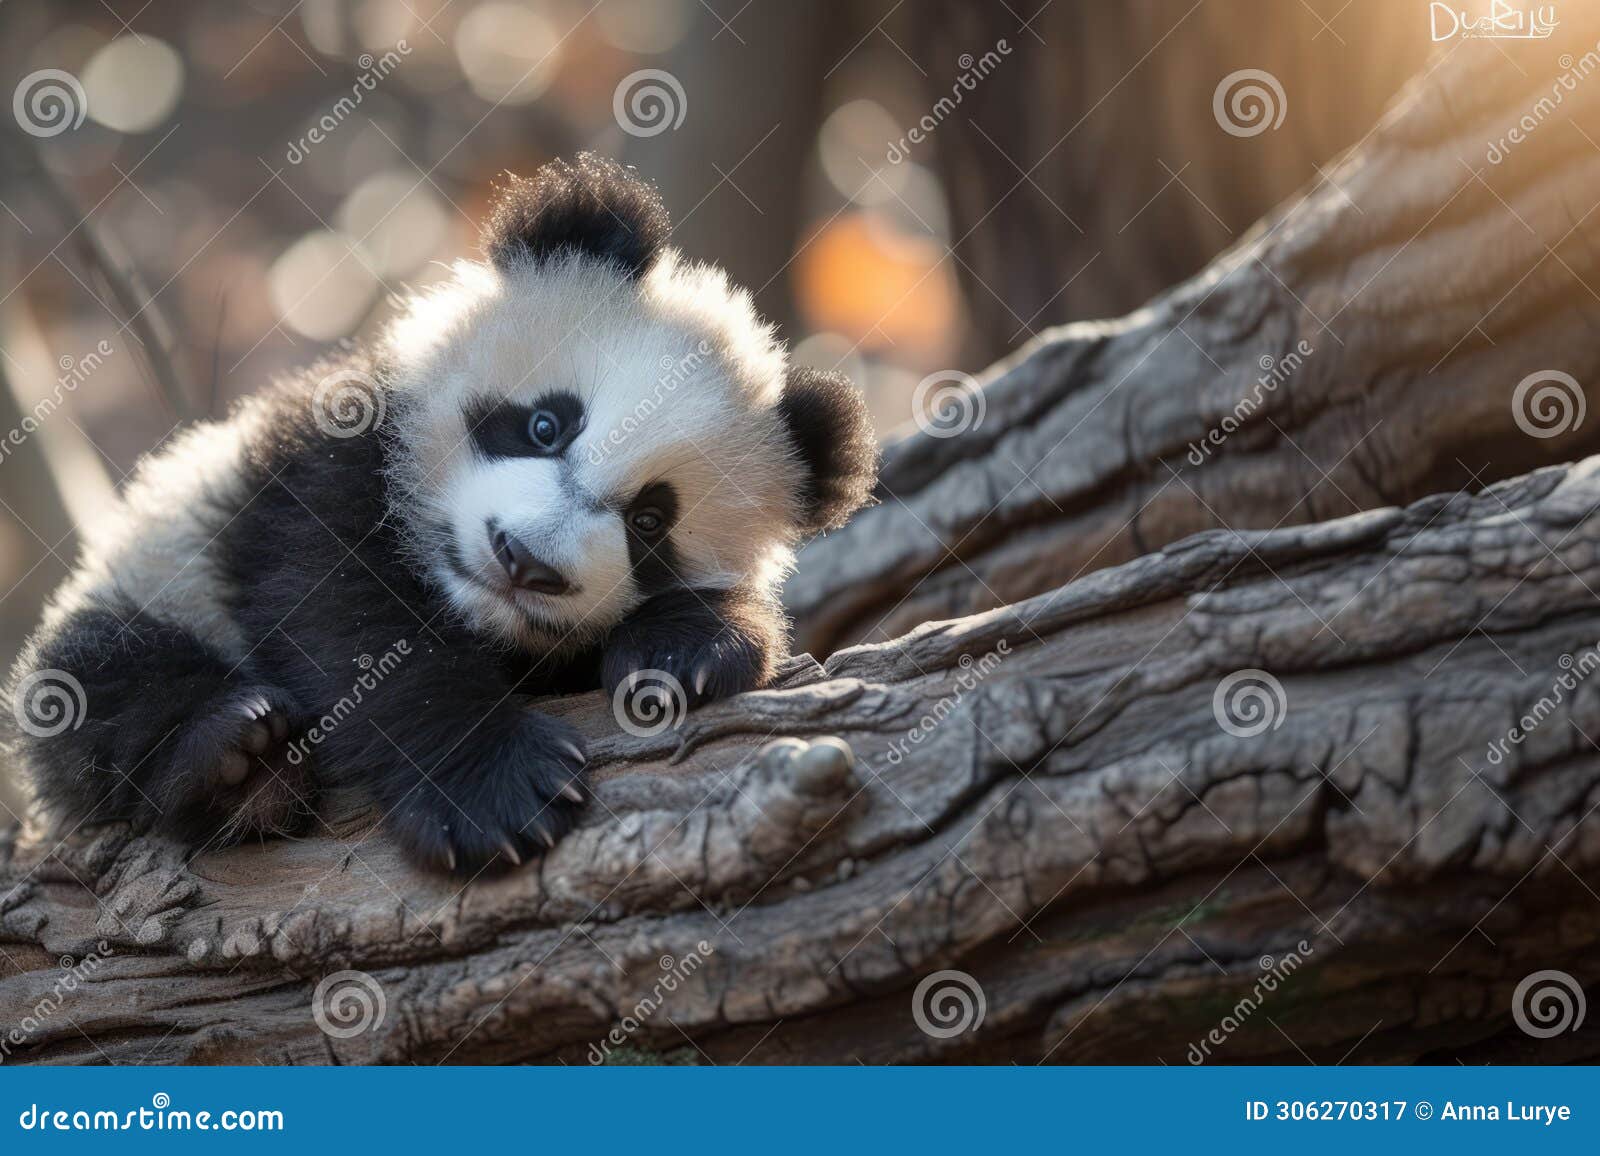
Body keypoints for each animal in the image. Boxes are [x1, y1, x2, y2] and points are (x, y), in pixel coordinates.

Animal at [2, 154, 877, 876]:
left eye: (650, 523)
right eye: (545, 424)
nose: (524, 560)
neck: (472, 611)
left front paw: (692, 644)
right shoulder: (323, 462)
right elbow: (344, 617)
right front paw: (495, 792)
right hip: (156, 573)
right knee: (95, 682)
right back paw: (237, 758)